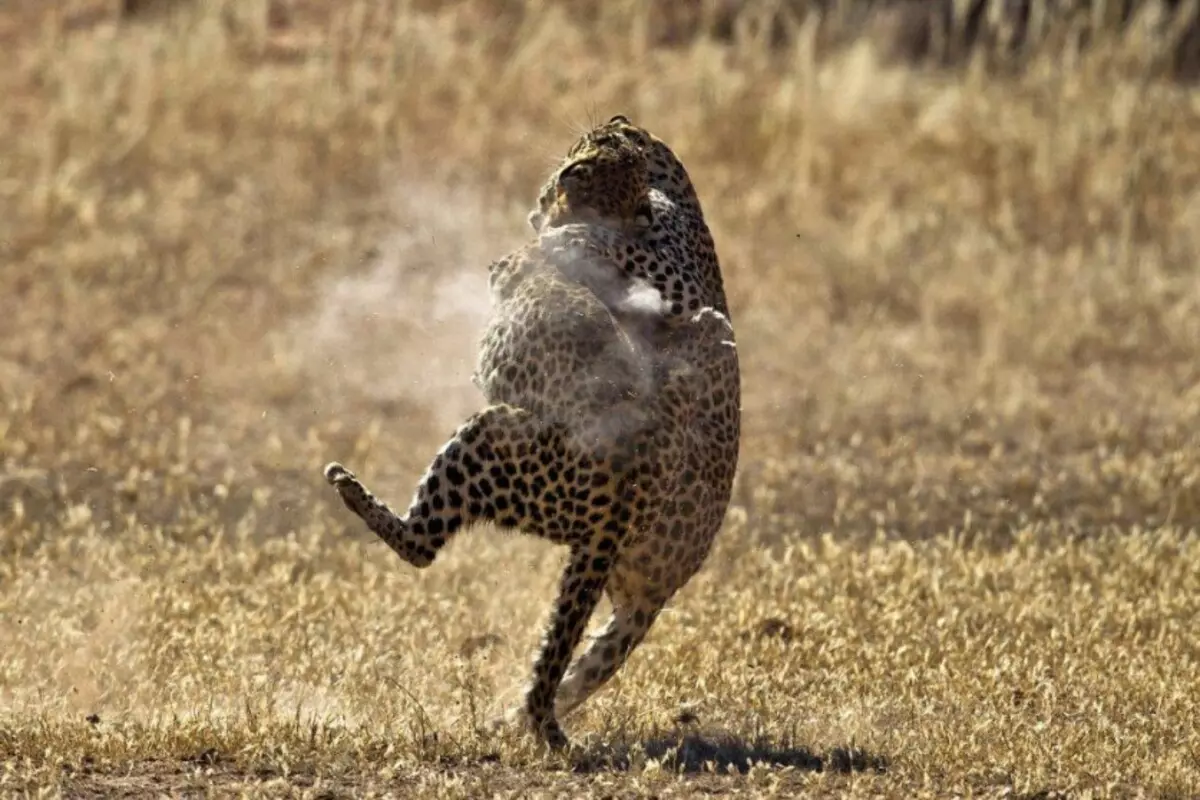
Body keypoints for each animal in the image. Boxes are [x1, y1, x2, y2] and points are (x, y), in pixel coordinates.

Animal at [328, 117, 739, 753]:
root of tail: (624, 498)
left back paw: (350, 488)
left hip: (493, 439)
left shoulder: (668, 281)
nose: (611, 124)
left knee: (421, 544)